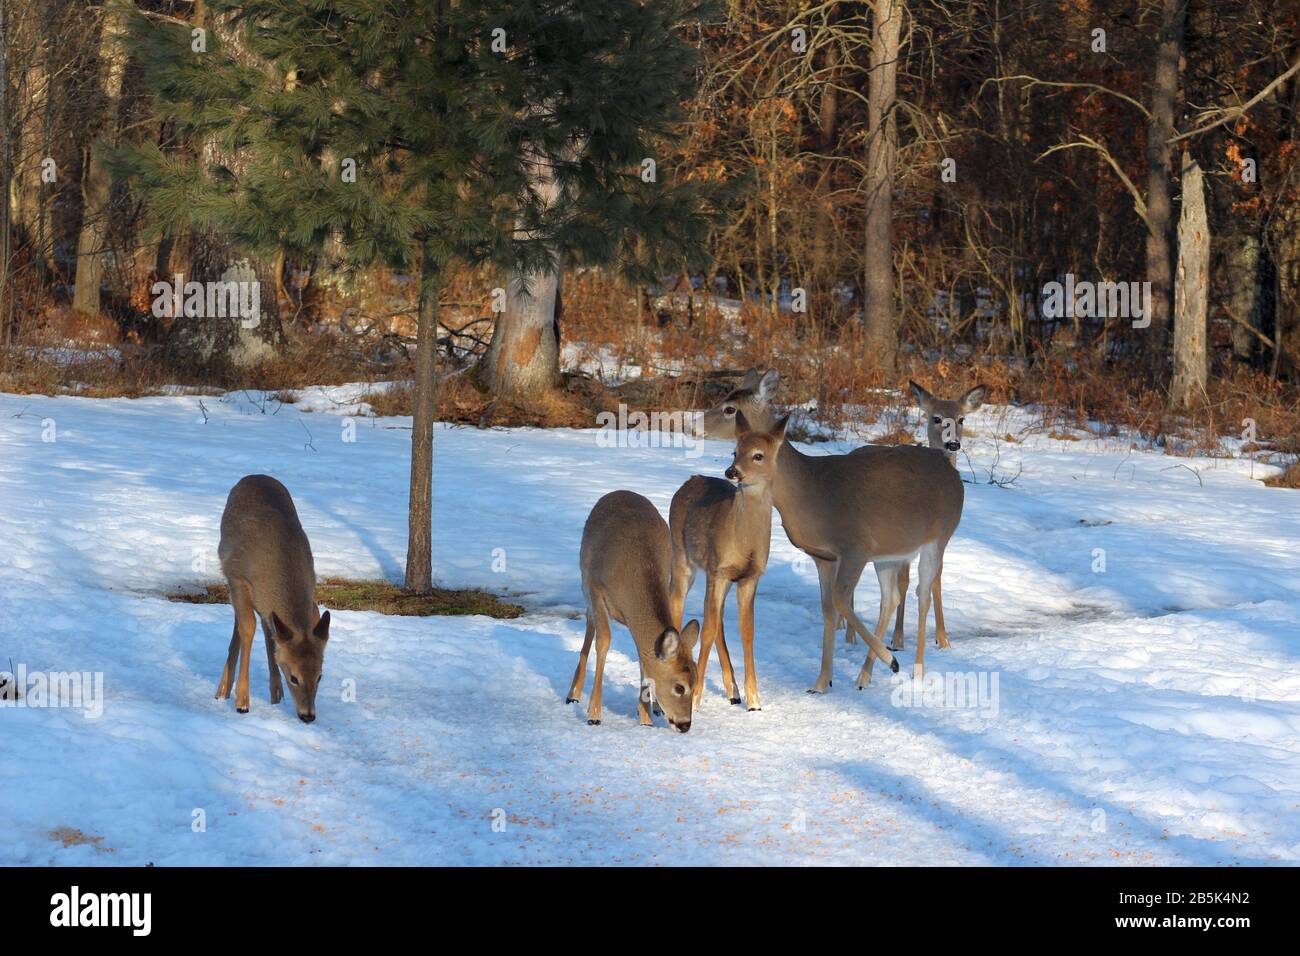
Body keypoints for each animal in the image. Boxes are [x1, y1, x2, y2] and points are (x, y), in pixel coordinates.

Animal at [214, 475, 331, 722]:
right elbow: (247, 628)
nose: (308, 716)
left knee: (268, 630)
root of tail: (255, 475)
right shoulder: (238, 579)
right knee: (243, 625)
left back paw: (274, 692)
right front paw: (242, 701)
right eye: (294, 677)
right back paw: (224, 690)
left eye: (320, 676)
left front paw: (273, 693)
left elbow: (268, 633)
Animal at [568, 490, 701, 732]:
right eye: (679, 687)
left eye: (696, 683)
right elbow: (603, 641)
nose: (685, 725)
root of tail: (619, 492)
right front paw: (594, 714)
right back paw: (573, 693)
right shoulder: (597, 589)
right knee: (590, 624)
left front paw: (646, 718)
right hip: (585, 579)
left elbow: (643, 657)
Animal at [669, 412, 785, 712]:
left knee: (718, 618)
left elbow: (747, 631)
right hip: (683, 557)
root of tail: (689, 481)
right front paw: (696, 697)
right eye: (735, 451)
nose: (731, 471)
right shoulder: (719, 570)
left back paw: (733, 691)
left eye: (758, 455)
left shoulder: (749, 577)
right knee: (678, 604)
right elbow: (707, 630)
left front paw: (754, 700)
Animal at [698, 368, 964, 685]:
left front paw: (890, 661)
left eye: (730, 408)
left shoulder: (855, 546)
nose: (697, 422)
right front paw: (822, 682)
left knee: (923, 592)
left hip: (939, 536)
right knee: (891, 597)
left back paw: (916, 668)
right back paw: (864, 676)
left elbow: (840, 600)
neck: (809, 489)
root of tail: (951, 469)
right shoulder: (823, 556)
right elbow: (828, 609)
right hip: (889, 552)